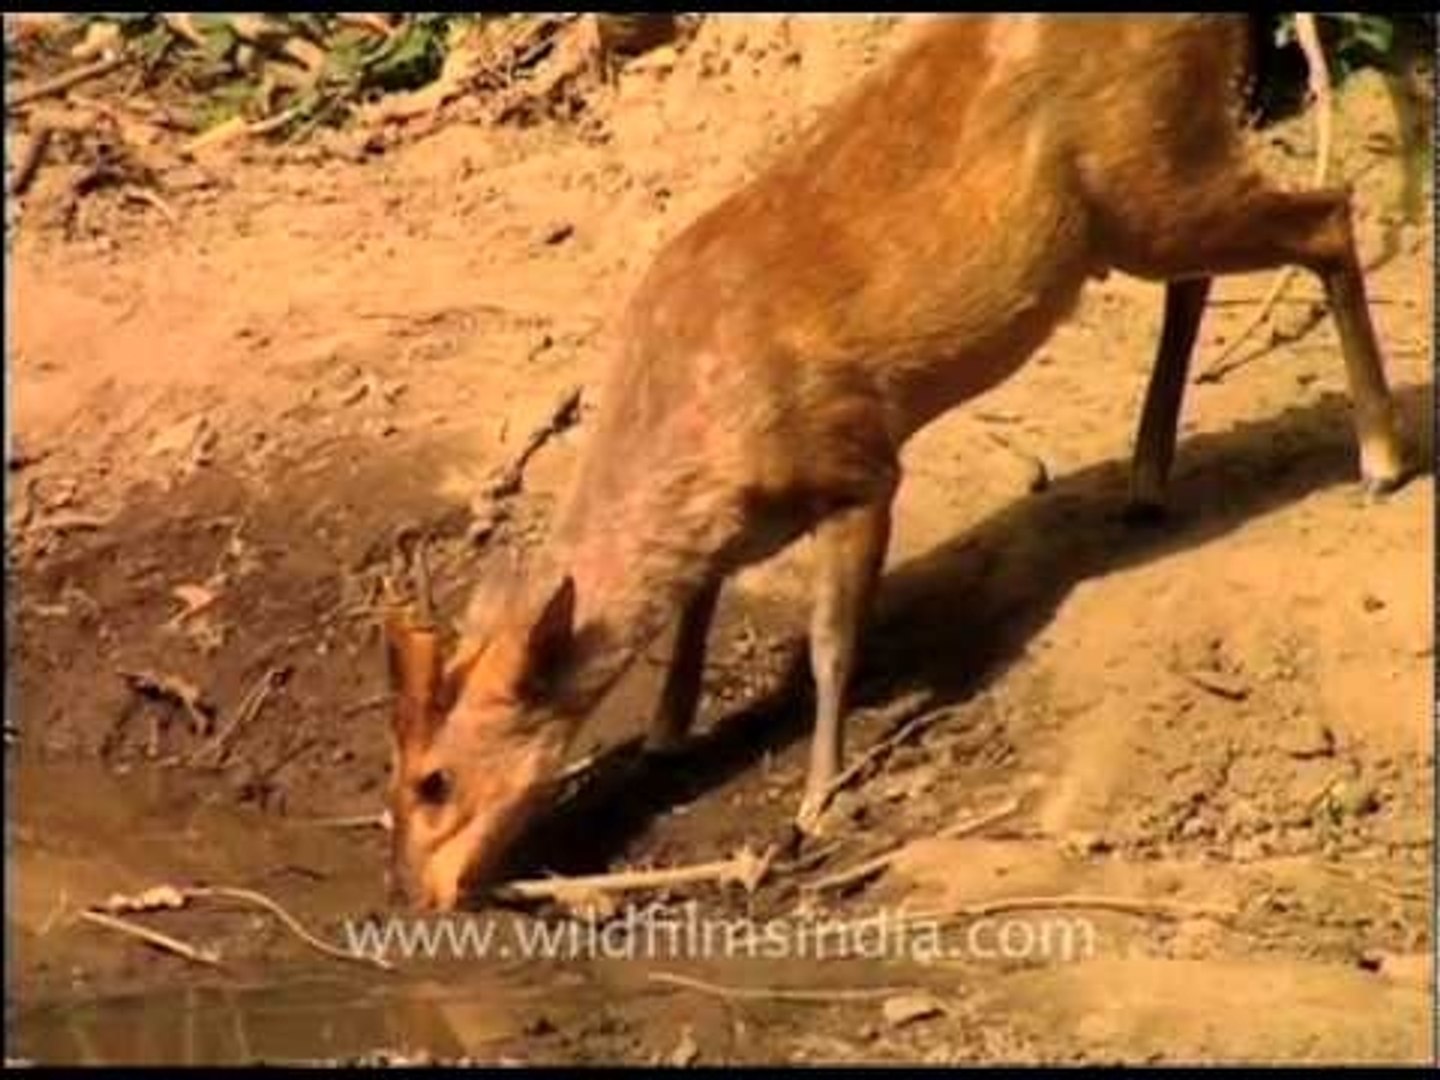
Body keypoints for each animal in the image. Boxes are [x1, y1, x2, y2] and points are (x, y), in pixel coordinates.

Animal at [381, 14, 1411, 910]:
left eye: (434, 780)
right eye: (393, 780)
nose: (419, 896)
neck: (696, 425)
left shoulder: (859, 459)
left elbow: (832, 642)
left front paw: (818, 797)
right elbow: (693, 619)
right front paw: (667, 736)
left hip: (1154, 165)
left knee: (1329, 214)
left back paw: (1381, 460)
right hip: (1145, 199)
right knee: (1206, 273)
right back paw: (1150, 479)